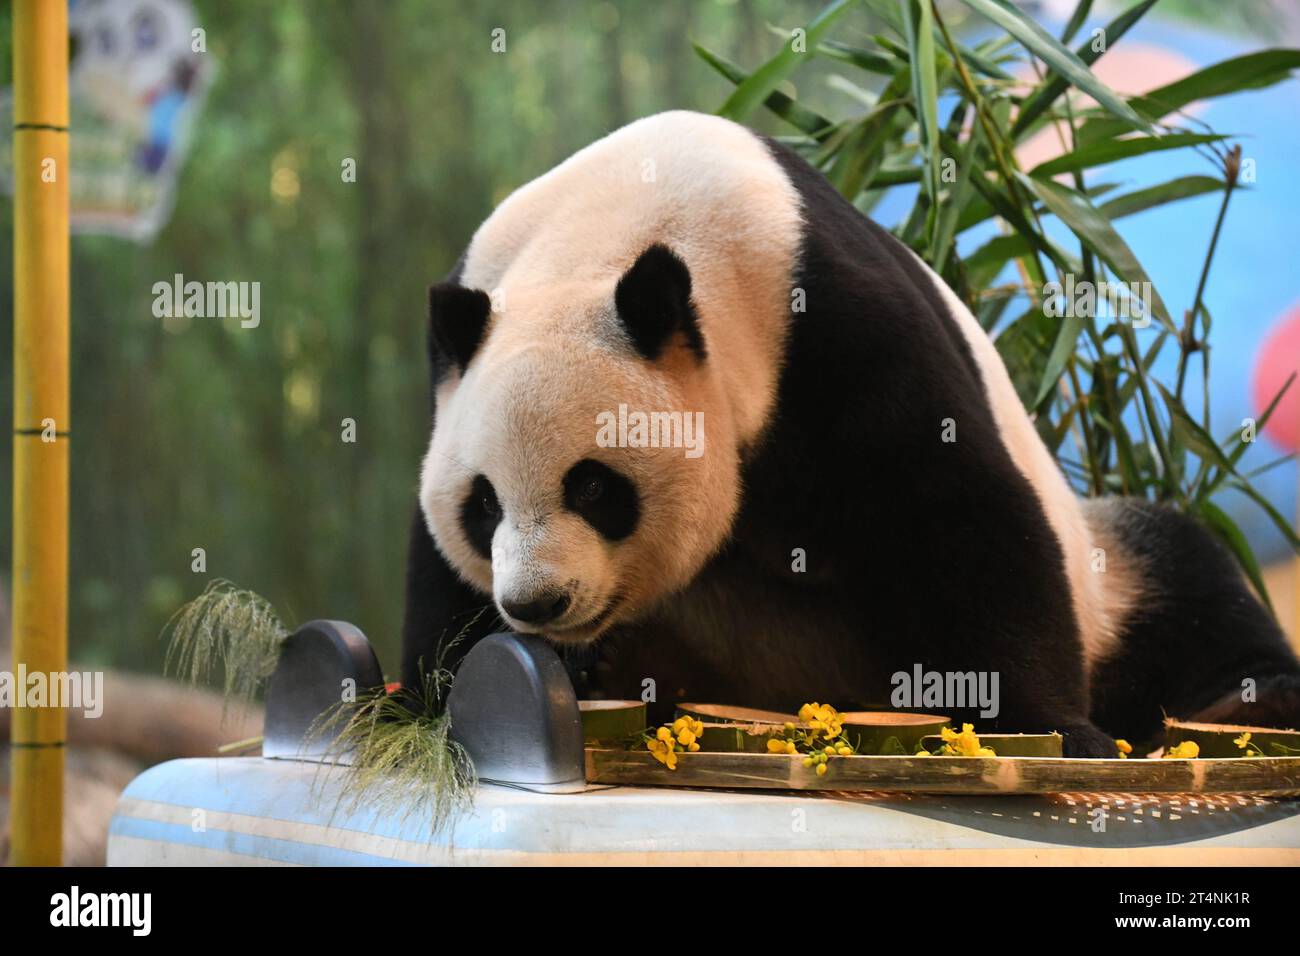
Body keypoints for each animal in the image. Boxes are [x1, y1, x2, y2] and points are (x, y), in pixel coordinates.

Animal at [402, 110, 1300, 757]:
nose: (536, 603)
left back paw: (1247, 701)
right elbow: (437, 575)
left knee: (1180, 568)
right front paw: (437, 695)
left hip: (1105, 572)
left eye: (593, 486)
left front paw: (1053, 729)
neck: (608, 238)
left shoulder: (821, 322)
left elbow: (956, 511)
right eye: (484, 505)